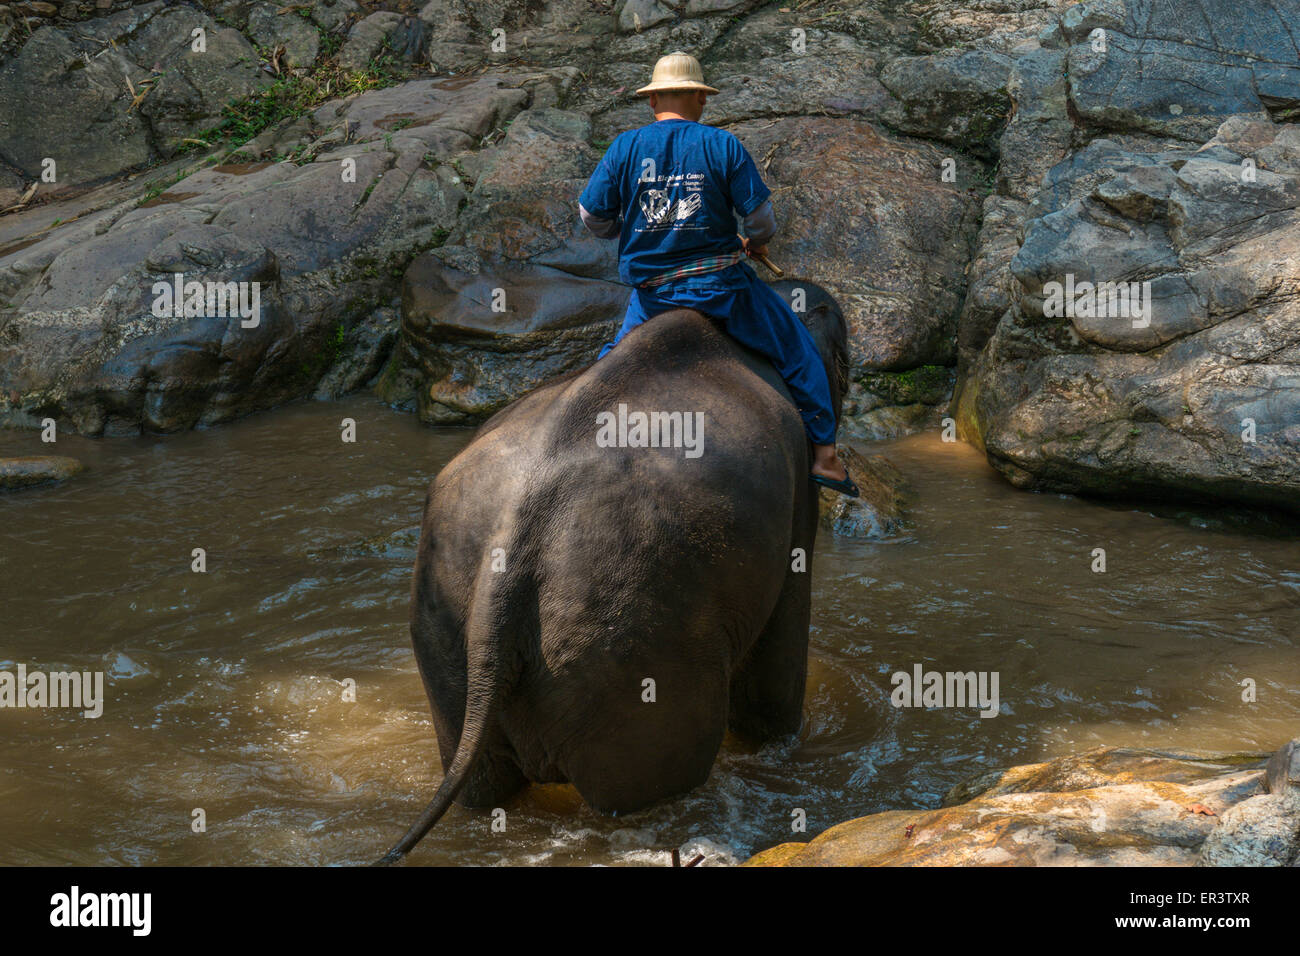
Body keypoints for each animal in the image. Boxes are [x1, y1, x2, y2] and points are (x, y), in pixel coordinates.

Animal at [378, 280, 848, 863]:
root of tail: (503, 565)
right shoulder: (797, 486)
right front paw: (778, 743)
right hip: (627, 649)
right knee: (651, 778)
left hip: (442, 625)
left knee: (485, 786)